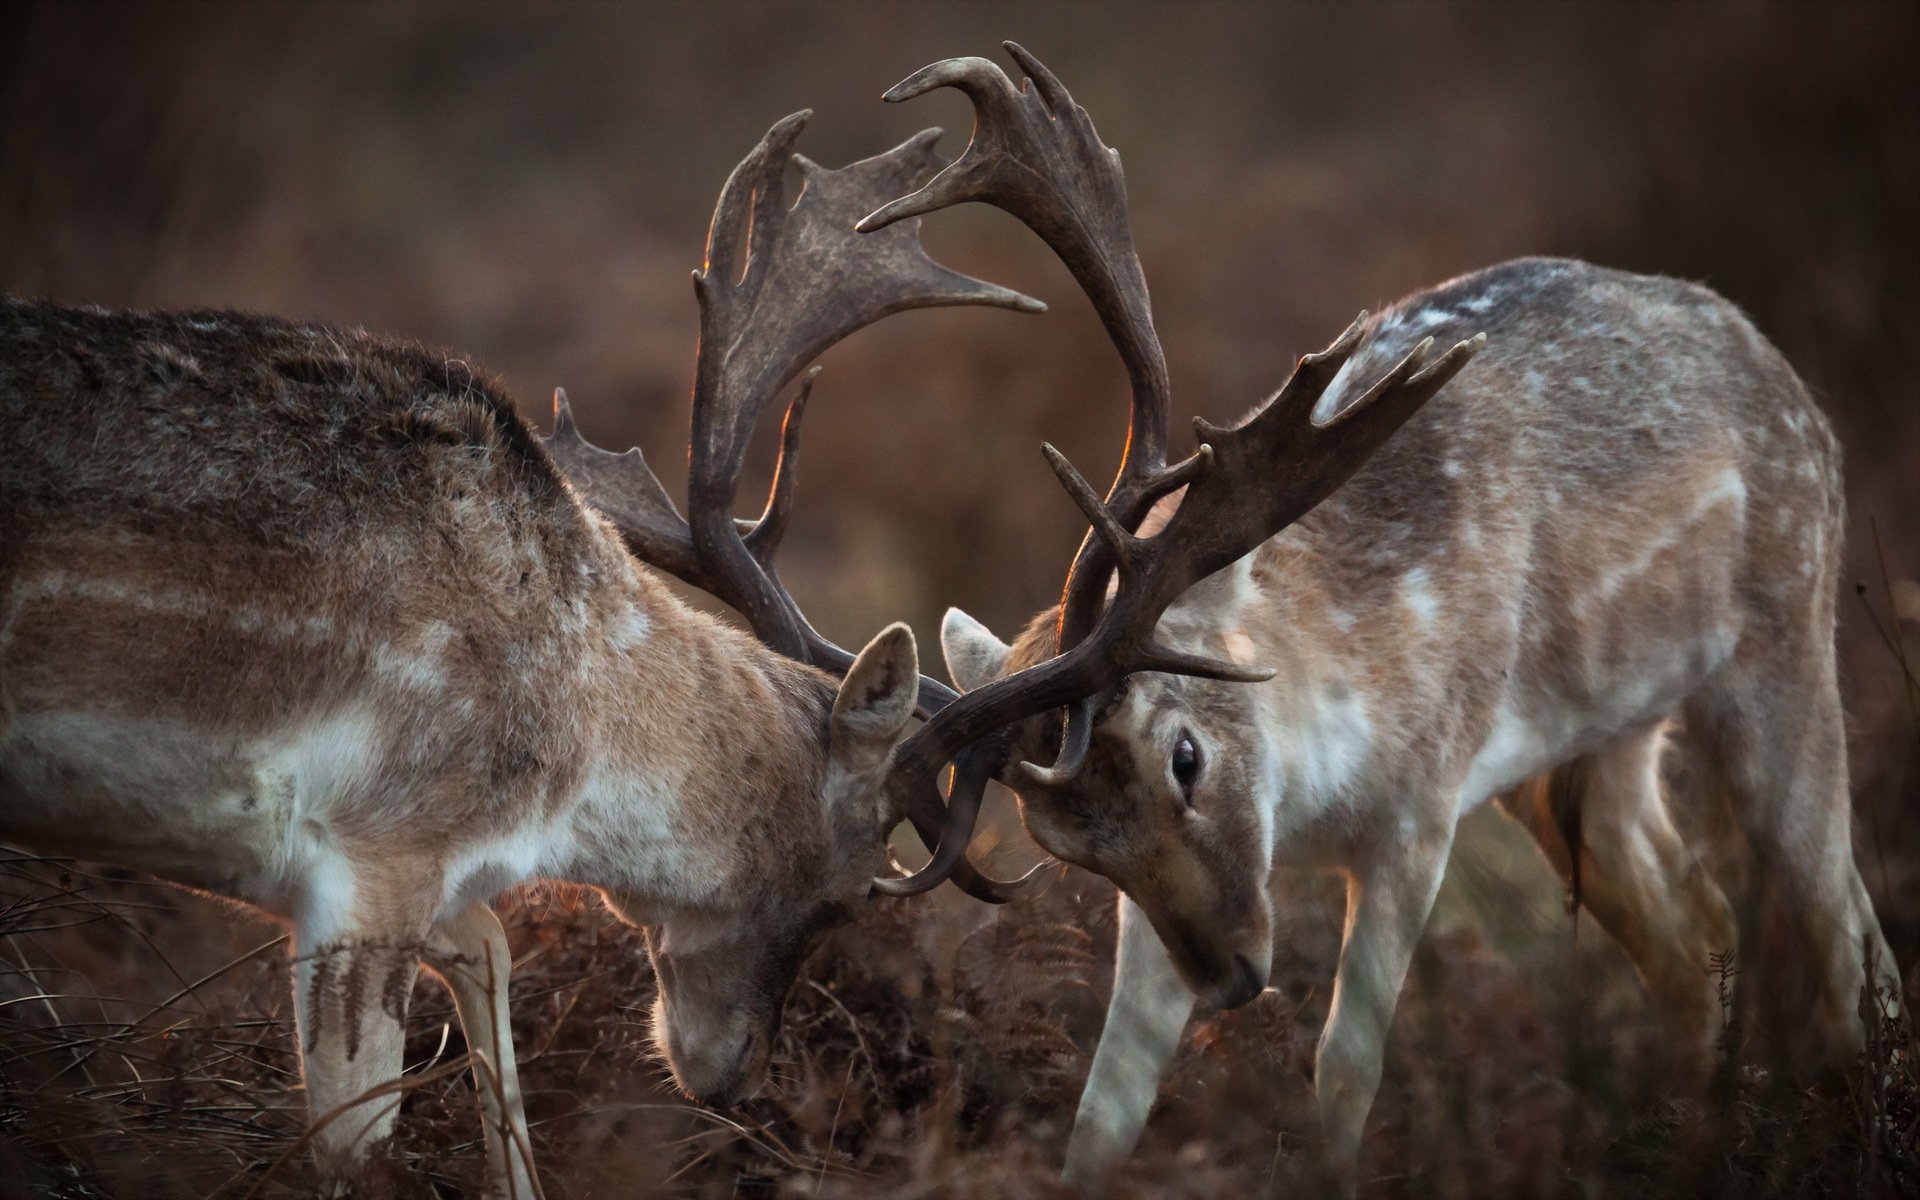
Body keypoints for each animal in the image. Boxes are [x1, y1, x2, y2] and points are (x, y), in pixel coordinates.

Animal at [849, 45, 1908, 1193]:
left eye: (1185, 754)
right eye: (1065, 845)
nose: (1234, 978)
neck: (1317, 783)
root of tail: (1782, 371)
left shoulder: (1422, 807)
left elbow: (1344, 1067)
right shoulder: (1174, 909)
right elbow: (1104, 1104)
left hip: (1786, 634)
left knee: (1851, 930)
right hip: (1583, 758)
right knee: (1696, 926)